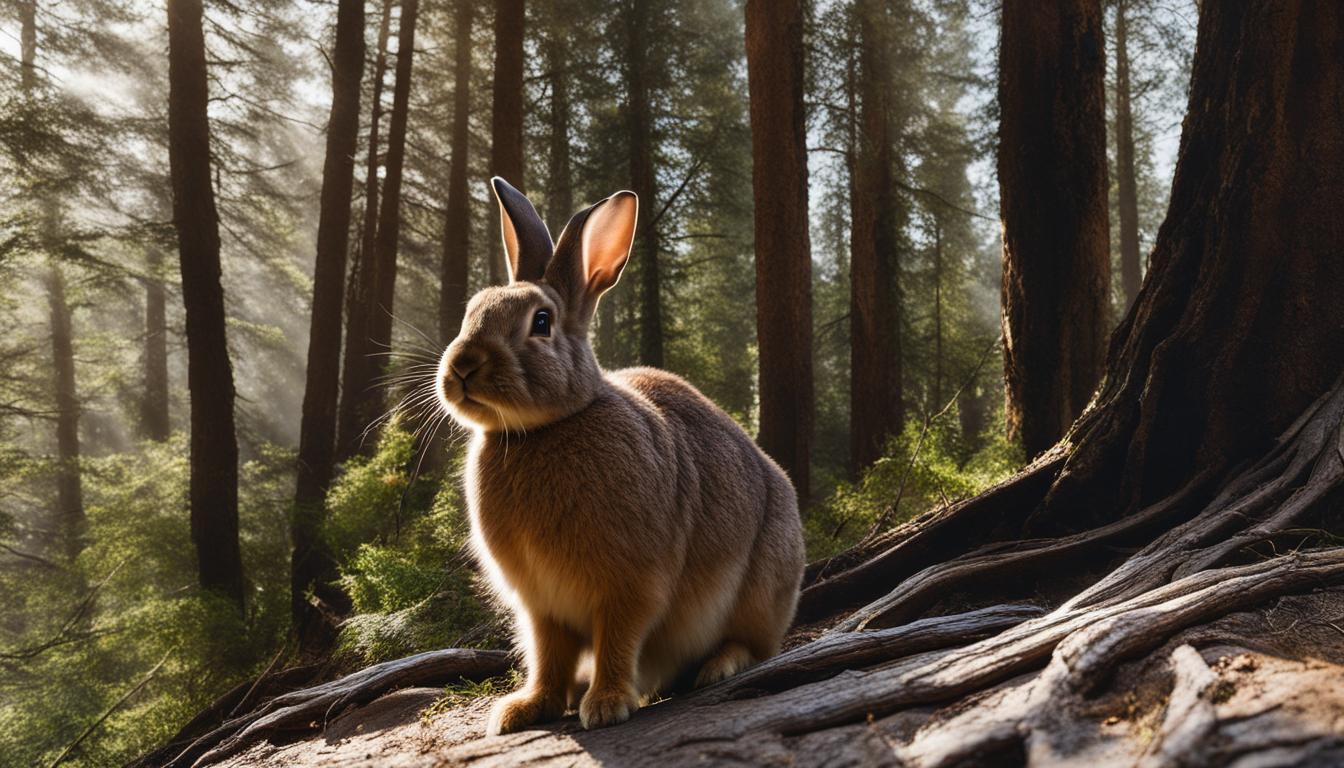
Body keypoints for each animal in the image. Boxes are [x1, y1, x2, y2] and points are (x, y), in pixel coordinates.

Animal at [436, 177, 804, 735]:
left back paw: (717, 667)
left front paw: (607, 705)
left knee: (756, 644)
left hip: (763, 587)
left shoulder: (629, 586)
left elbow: (617, 641)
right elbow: (547, 655)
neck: (541, 429)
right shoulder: (541, 607)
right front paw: (526, 708)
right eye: (472, 311)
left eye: (540, 322)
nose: (461, 365)